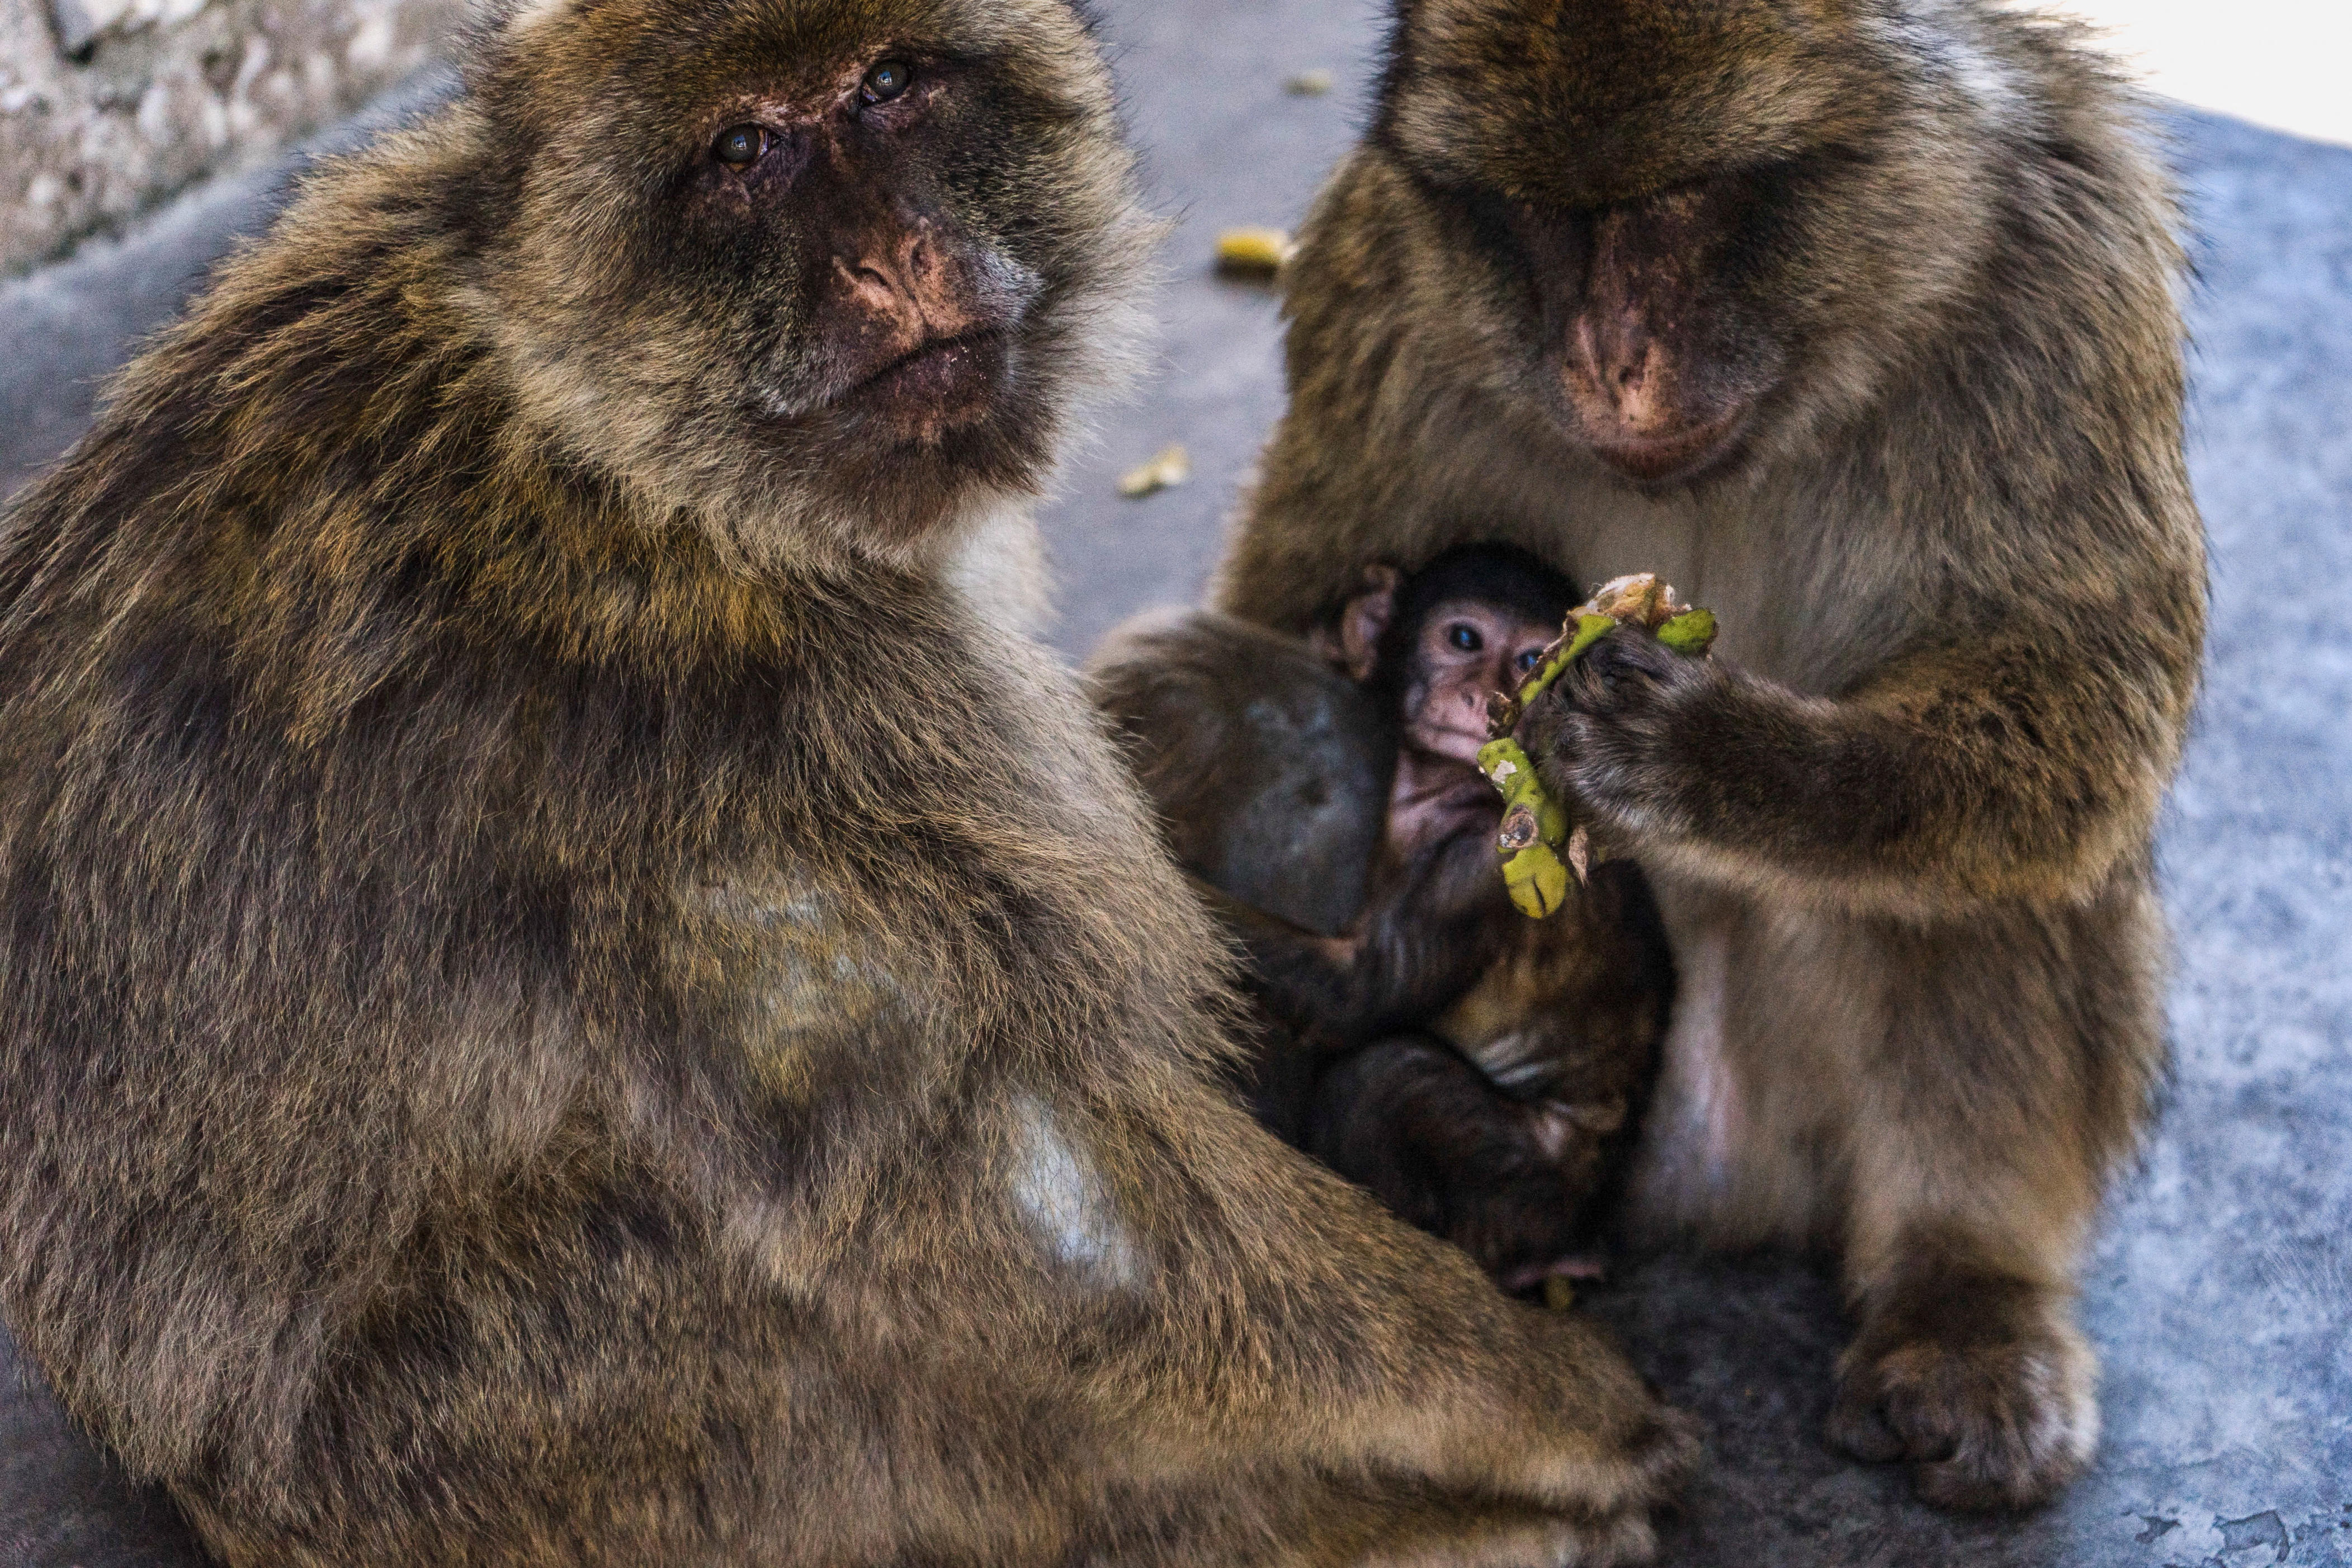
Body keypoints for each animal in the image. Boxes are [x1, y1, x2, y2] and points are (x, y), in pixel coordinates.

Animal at [1088, 544, 1673, 1291]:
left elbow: (1359, 993)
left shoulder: (1484, 865)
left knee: (1386, 1080)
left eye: (1529, 659)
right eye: (1464, 639)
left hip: (1526, 1197)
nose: (1486, 697)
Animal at [1213, 0, 2203, 1512]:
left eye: (1673, 210)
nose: (1608, 362)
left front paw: (1725, 760)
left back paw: (1962, 1289)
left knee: (2000, 879)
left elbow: (2081, 699)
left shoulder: (2064, 269)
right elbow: (1272, 625)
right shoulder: (1374, 281)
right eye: (1542, 221)